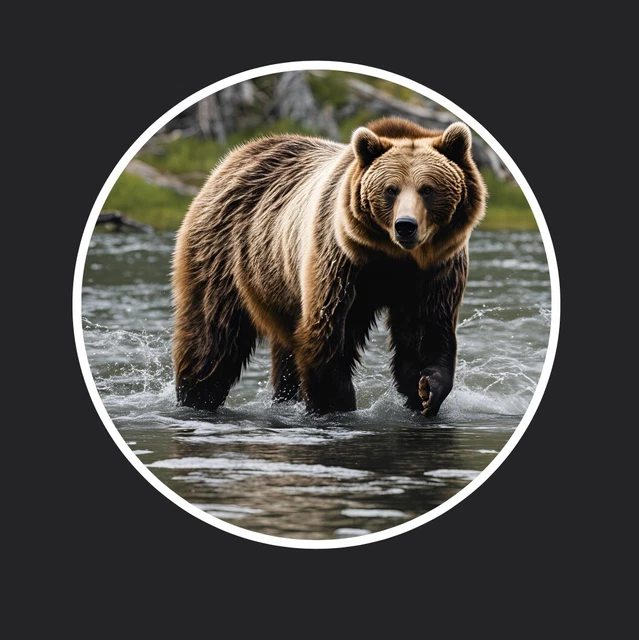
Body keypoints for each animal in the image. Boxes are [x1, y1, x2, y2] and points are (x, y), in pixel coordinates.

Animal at [171, 116, 486, 416]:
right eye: (390, 190)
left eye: (427, 189)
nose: (405, 226)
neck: (390, 257)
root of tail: (234, 156)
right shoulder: (340, 260)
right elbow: (328, 332)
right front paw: (336, 405)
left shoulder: (435, 269)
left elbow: (427, 328)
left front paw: (426, 391)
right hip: (223, 256)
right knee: (212, 338)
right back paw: (196, 398)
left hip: (277, 284)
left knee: (284, 355)